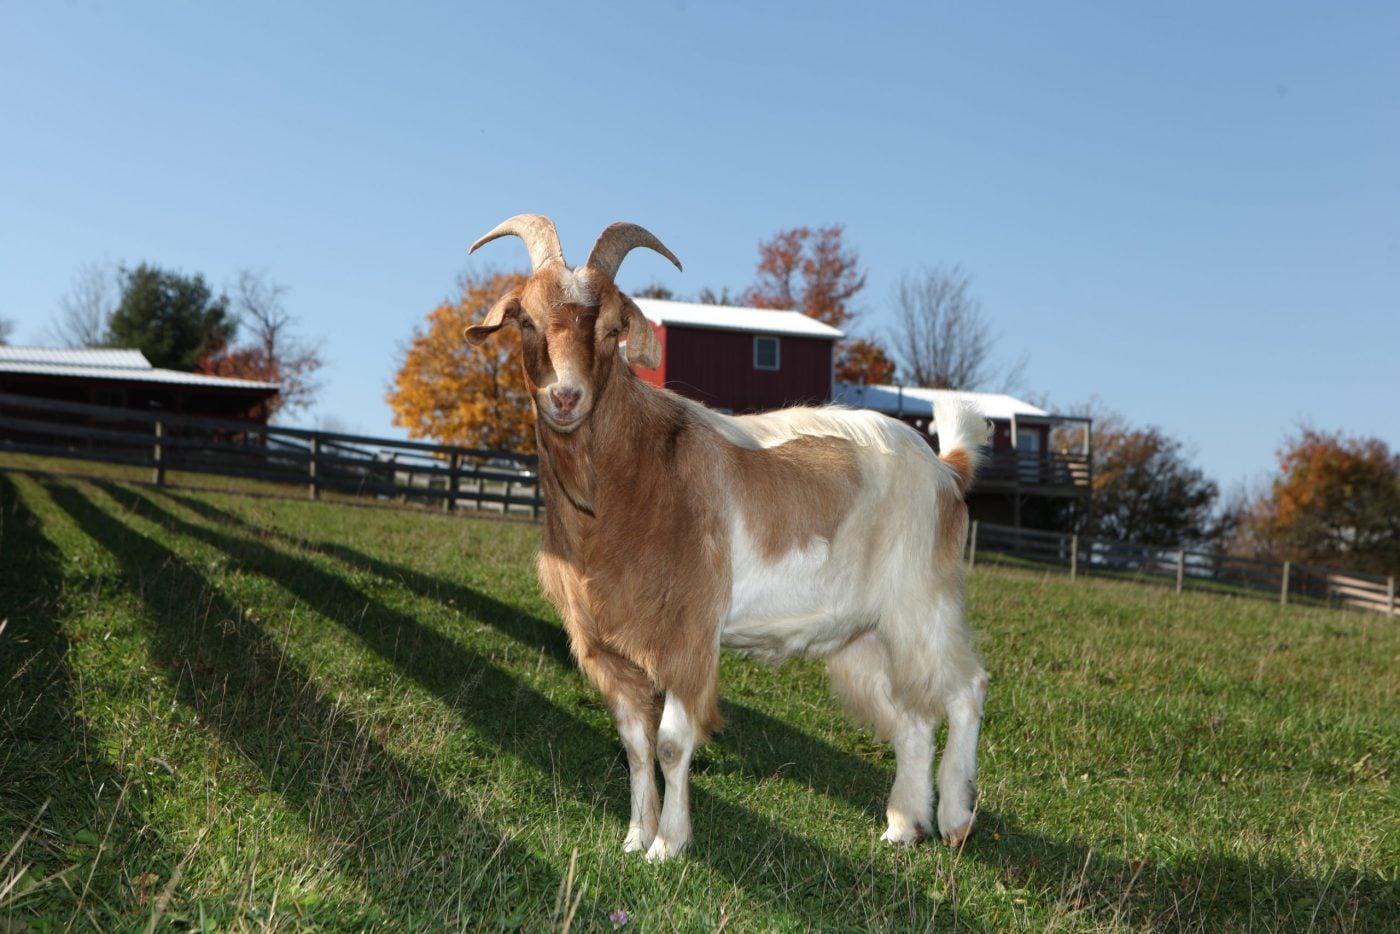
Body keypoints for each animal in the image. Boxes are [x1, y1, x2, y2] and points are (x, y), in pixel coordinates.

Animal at [466, 214, 990, 861]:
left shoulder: (688, 635)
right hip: (865, 637)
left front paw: (668, 845)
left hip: (923, 604)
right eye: (527, 321)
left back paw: (956, 819)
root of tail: (946, 468)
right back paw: (902, 826)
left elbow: (671, 744)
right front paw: (634, 838)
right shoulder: (605, 643)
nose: (565, 397)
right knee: (912, 720)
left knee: (965, 689)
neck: (630, 477)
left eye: (613, 329)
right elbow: (634, 745)